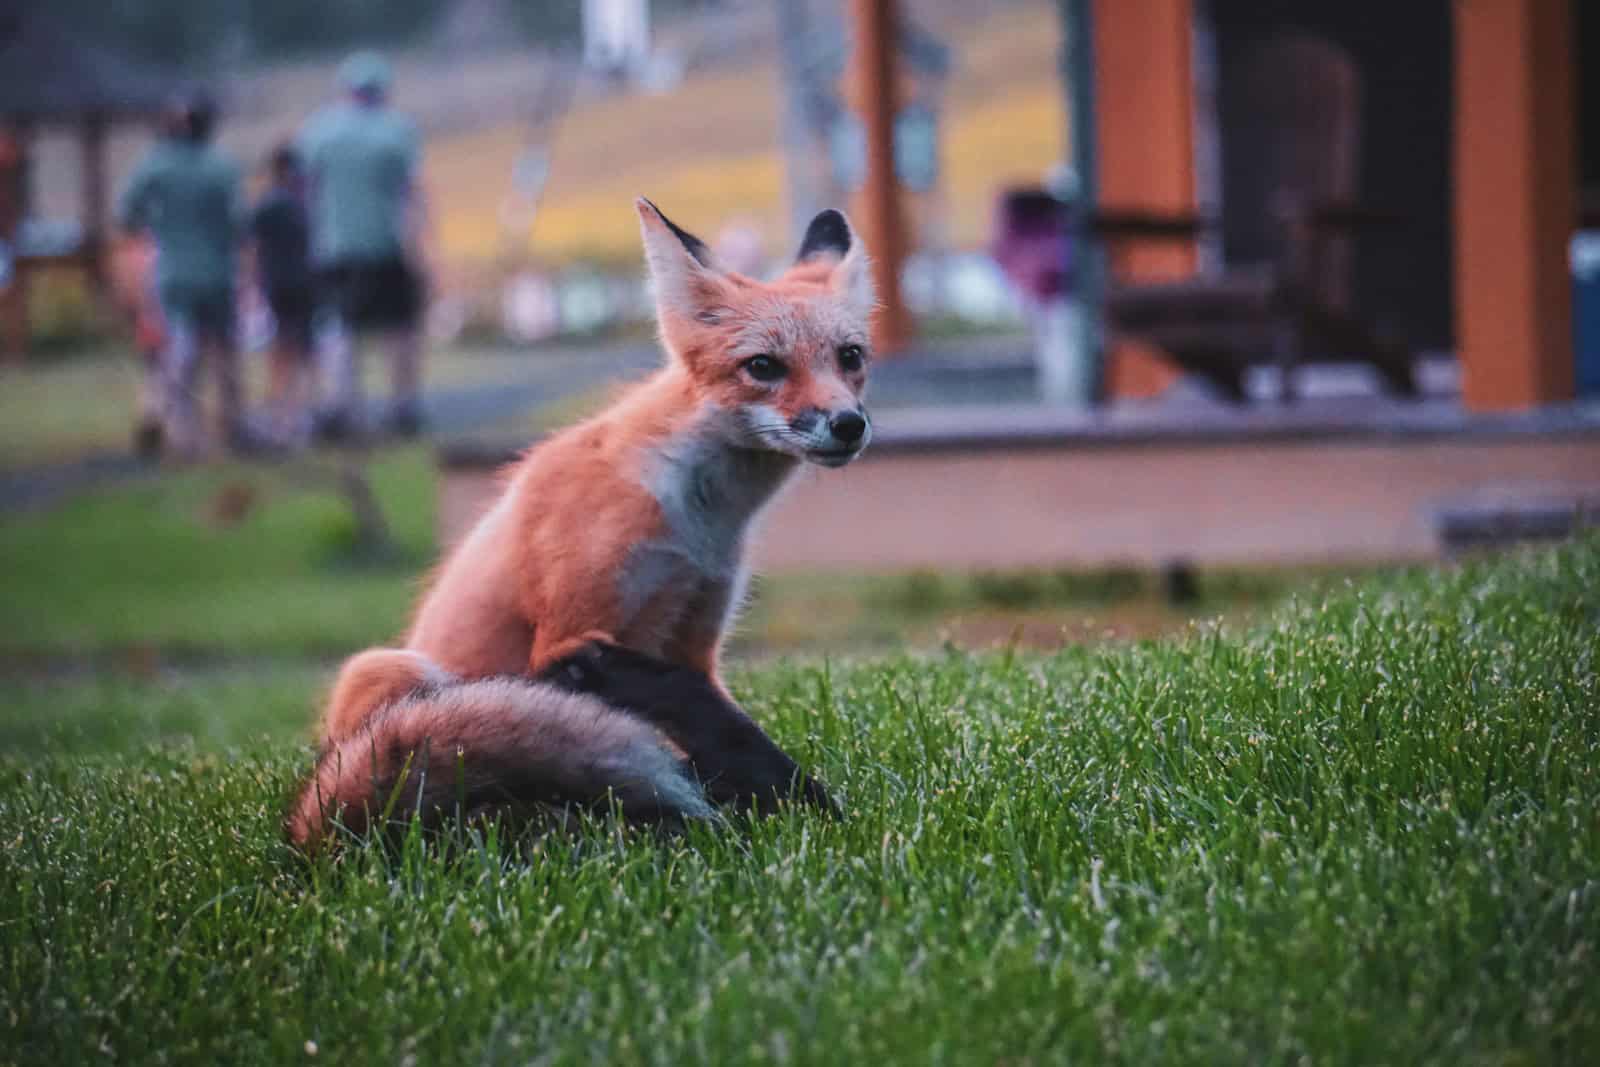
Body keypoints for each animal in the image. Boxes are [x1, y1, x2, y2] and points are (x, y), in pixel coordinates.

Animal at [290, 199, 873, 849]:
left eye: (850, 357)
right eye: (764, 366)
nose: (848, 424)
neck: (697, 522)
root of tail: (314, 832)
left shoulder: (697, 639)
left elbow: (710, 719)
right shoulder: (571, 631)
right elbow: (678, 715)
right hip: (390, 668)